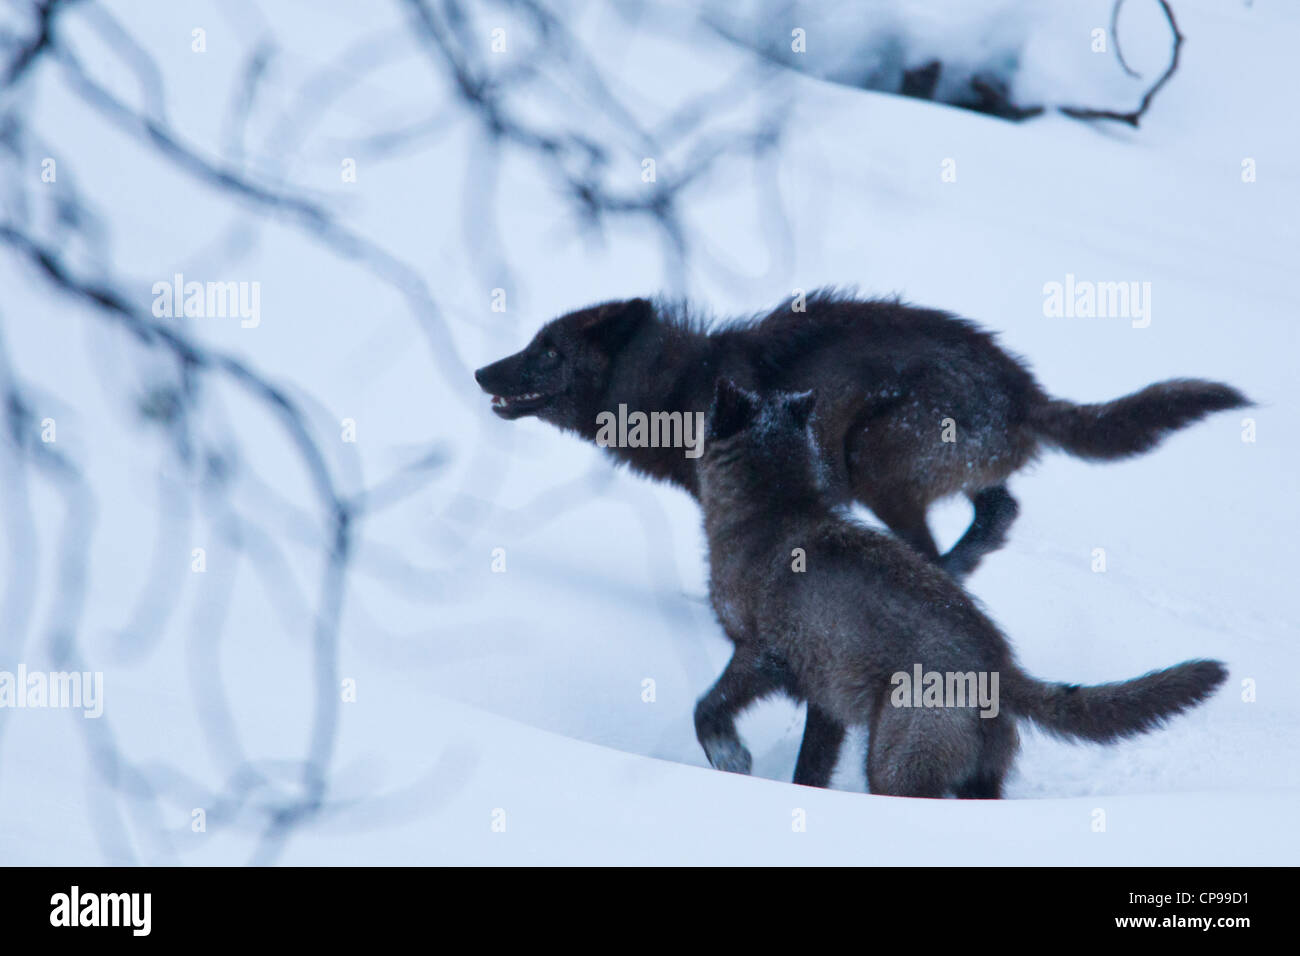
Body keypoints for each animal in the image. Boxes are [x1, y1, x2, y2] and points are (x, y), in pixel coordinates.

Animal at [692, 380, 1227, 797]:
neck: (775, 511)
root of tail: (1000, 666)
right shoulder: (825, 703)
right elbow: (811, 770)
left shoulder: (762, 653)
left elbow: (707, 707)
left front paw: (730, 757)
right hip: (971, 775)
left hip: (892, 765)